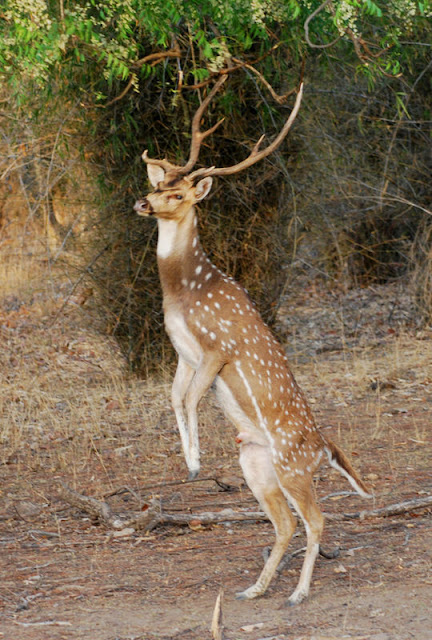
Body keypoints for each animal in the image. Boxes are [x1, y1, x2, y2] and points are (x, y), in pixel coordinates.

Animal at [133, 77, 371, 604]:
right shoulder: (182, 352)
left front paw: (195, 463)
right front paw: (190, 463)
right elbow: (174, 398)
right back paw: (253, 590)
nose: (142, 202)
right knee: (284, 524)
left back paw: (297, 594)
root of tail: (326, 448)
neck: (185, 290)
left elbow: (192, 399)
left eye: (177, 192)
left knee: (316, 520)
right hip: (256, 463)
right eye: (156, 183)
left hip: (293, 466)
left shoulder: (217, 347)